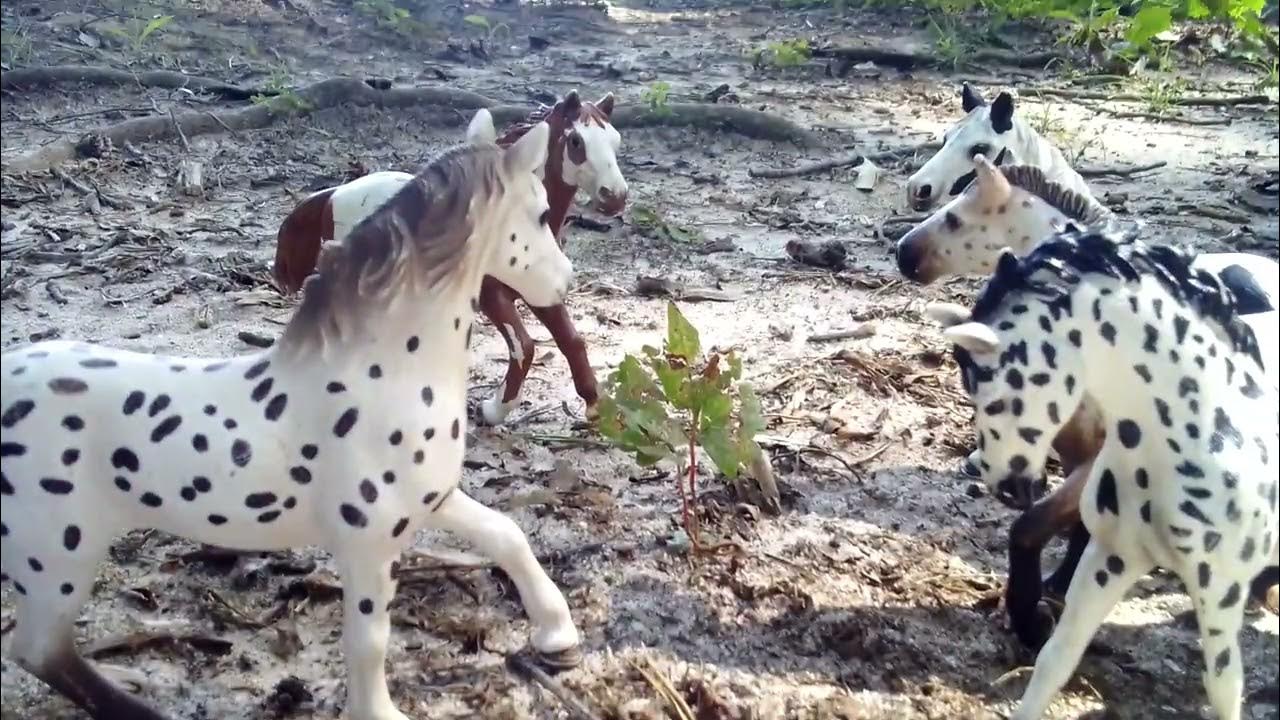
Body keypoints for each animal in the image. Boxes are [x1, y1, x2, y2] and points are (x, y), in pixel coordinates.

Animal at [0, 117, 583, 720]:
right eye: (543, 214)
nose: (567, 281)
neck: (380, 373)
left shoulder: (431, 500)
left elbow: (506, 535)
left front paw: (557, 634)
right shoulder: (367, 544)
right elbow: (368, 642)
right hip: (58, 556)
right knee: (39, 649)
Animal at [272, 90, 628, 427]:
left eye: (616, 140)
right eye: (576, 141)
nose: (616, 197)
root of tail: (331, 195)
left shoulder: (540, 291)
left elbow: (572, 340)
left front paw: (598, 408)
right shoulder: (491, 295)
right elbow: (523, 345)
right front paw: (494, 410)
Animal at [907, 155, 1280, 648]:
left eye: (953, 217)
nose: (903, 253)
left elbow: (1037, 525)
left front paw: (1032, 617)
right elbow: (1078, 526)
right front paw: (1051, 595)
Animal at [932, 229, 1278, 720]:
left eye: (989, 384)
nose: (1004, 483)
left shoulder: (1219, 584)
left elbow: (1224, 688)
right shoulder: (1114, 555)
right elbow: (1055, 658)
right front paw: (1037, 617)